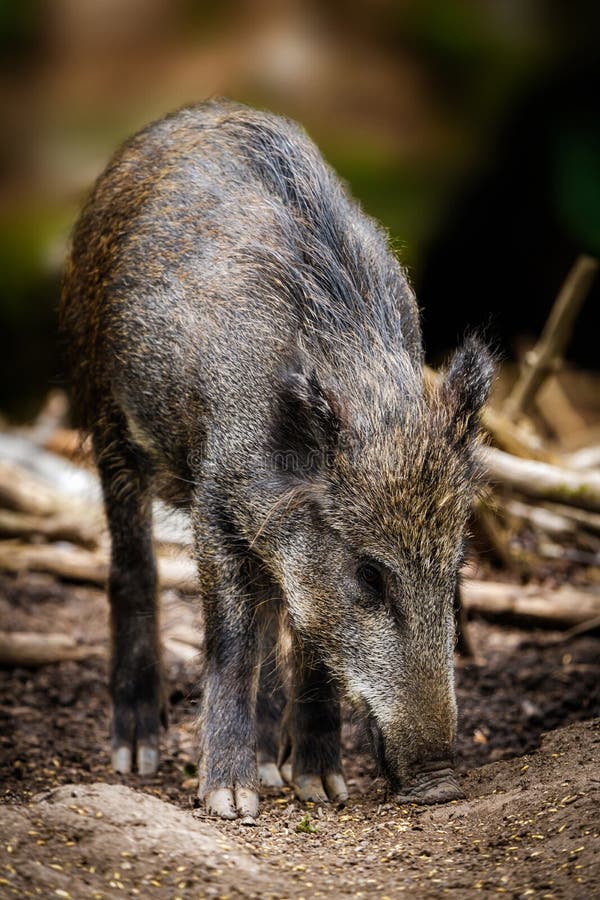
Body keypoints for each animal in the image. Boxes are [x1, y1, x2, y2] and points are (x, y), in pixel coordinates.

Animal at [60, 99, 494, 821]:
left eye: (456, 567)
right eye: (370, 575)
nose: (442, 785)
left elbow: (309, 640)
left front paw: (321, 788)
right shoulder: (215, 504)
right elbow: (234, 644)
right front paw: (231, 801)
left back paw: (272, 765)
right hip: (105, 414)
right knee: (133, 570)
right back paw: (139, 753)